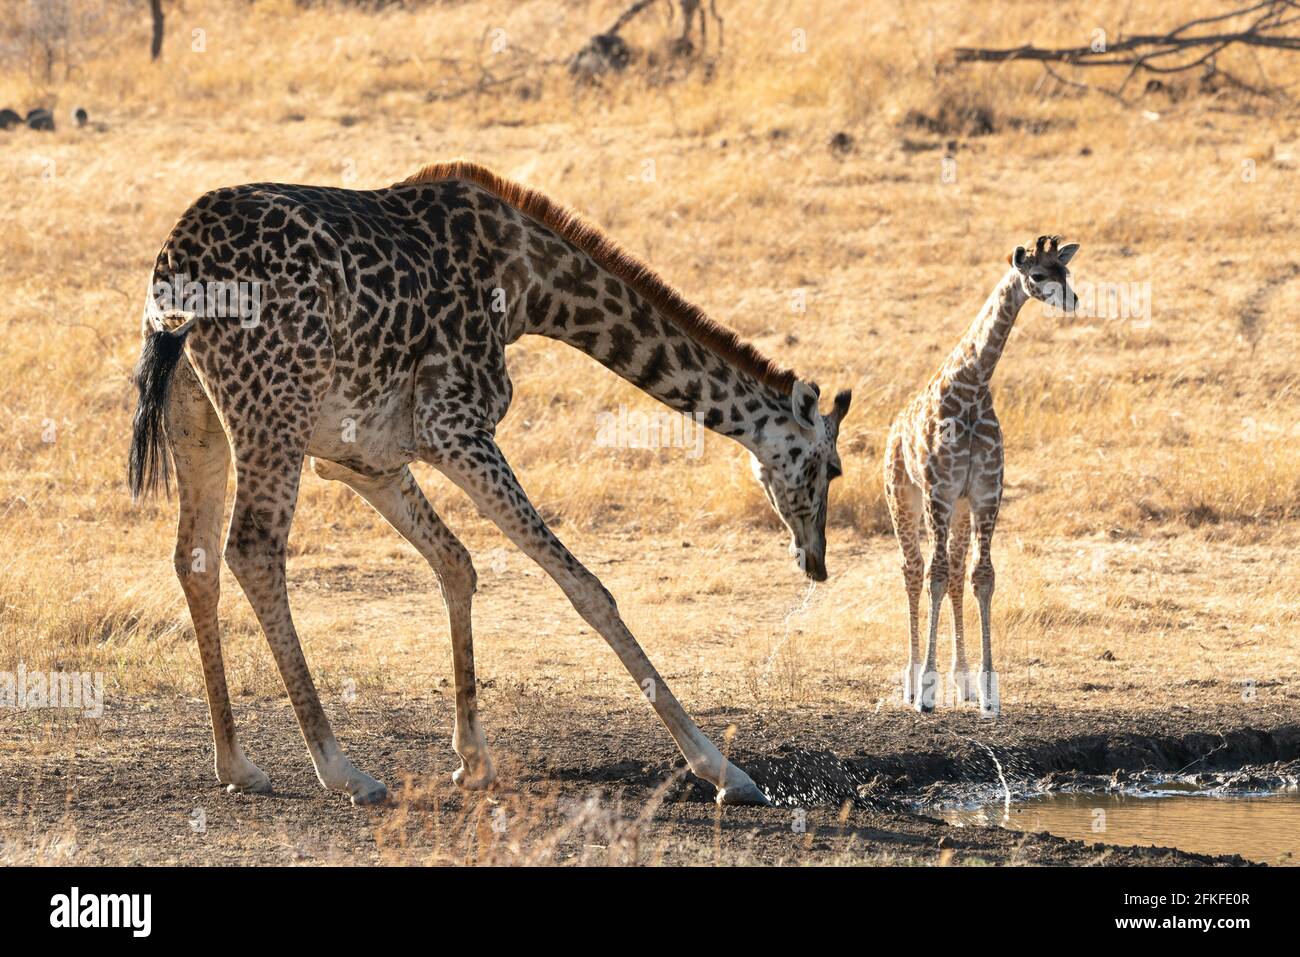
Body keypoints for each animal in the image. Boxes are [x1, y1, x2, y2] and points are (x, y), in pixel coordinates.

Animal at [128, 161, 852, 807]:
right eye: (832, 469)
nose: (816, 563)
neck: (531, 287)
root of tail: (175, 278)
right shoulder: (456, 427)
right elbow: (586, 588)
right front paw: (723, 770)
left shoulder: (363, 457)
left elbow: (457, 564)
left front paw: (472, 758)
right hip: (273, 409)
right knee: (253, 550)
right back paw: (342, 770)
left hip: (202, 419)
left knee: (195, 558)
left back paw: (236, 763)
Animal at [883, 235, 1078, 717]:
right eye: (1038, 274)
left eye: (1067, 272)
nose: (1074, 301)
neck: (972, 385)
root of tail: (892, 431)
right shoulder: (939, 490)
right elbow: (933, 576)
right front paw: (927, 691)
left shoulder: (986, 492)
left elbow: (981, 577)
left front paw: (988, 691)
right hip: (904, 497)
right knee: (913, 569)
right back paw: (911, 682)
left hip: (959, 509)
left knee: (954, 571)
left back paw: (963, 682)